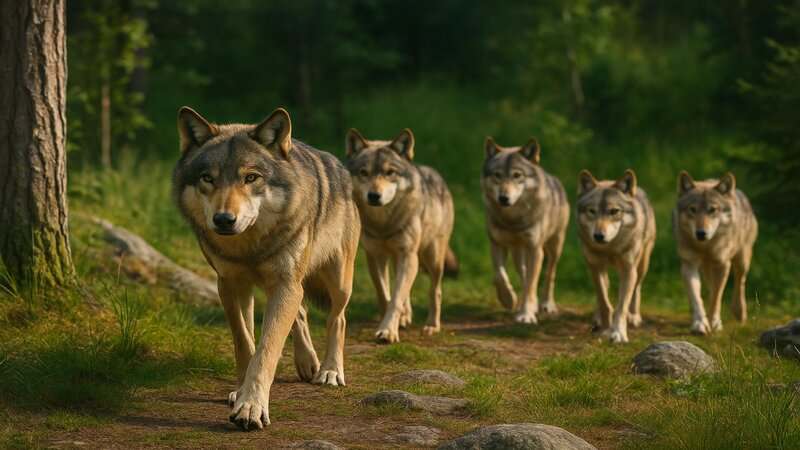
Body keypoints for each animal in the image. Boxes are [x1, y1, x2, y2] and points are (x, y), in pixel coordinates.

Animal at [173, 107, 360, 431]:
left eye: (251, 178)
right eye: (208, 178)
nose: (224, 219)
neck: (250, 248)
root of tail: (340, 166)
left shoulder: (285, 284)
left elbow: (267, 349)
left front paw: (251, 407)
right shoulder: (230, 284)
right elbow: (244, 341)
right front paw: (240, 392)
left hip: (337, 281)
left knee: (338, 319)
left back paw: (330, 371)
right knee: (301, 311)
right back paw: (307, 362)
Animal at [344, 128, 457, 343]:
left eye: (390, 173)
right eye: (364, 173)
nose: (374, 196)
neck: (383, 224)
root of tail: (433, 172)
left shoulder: (407, 255)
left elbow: (396, 298)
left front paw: (388, 331)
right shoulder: (375, 257)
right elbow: (384, 294)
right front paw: (390, 321)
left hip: (432, 259)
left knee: (435, 291)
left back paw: (432, 326)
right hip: (400, 259)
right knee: (406, 291)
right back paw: (406, 317)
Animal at [481, 137, 569, 324]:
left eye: (517, 175)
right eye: (497, 175)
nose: (503, 198)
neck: (513, 220)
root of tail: (554, 178)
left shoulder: (535, 249)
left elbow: (531, 284)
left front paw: (526, 315)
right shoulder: (496, 244)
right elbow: (499, 276)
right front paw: (508, 299)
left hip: (553, 248)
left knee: (549, 275)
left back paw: (546, 305)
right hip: (518, 254)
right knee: (523, 274)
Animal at [576, 170, 656, 343]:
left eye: (614, 211)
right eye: (592, 211)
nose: (598, 236)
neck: (610, 248)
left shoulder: (628, 271)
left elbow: (621, 307)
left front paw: (618, 333)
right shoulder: (595, 268)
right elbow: (605, 303)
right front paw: (606, 329)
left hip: (642, 266)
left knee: (636, 289)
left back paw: (634, 317)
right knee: (605, 289)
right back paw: (597, 319)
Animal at [673, 171, 758, 335]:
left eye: (712, 210)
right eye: (692, 209)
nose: (701, 233)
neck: (705, 246)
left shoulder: (722, 264)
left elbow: (717, 297)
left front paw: (715, 323)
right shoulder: (688, 265)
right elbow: (697, 297)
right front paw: (700, 323)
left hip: (742, 261)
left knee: (740, 282)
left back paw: (740, 312)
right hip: (706, 269)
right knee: (711, 287)